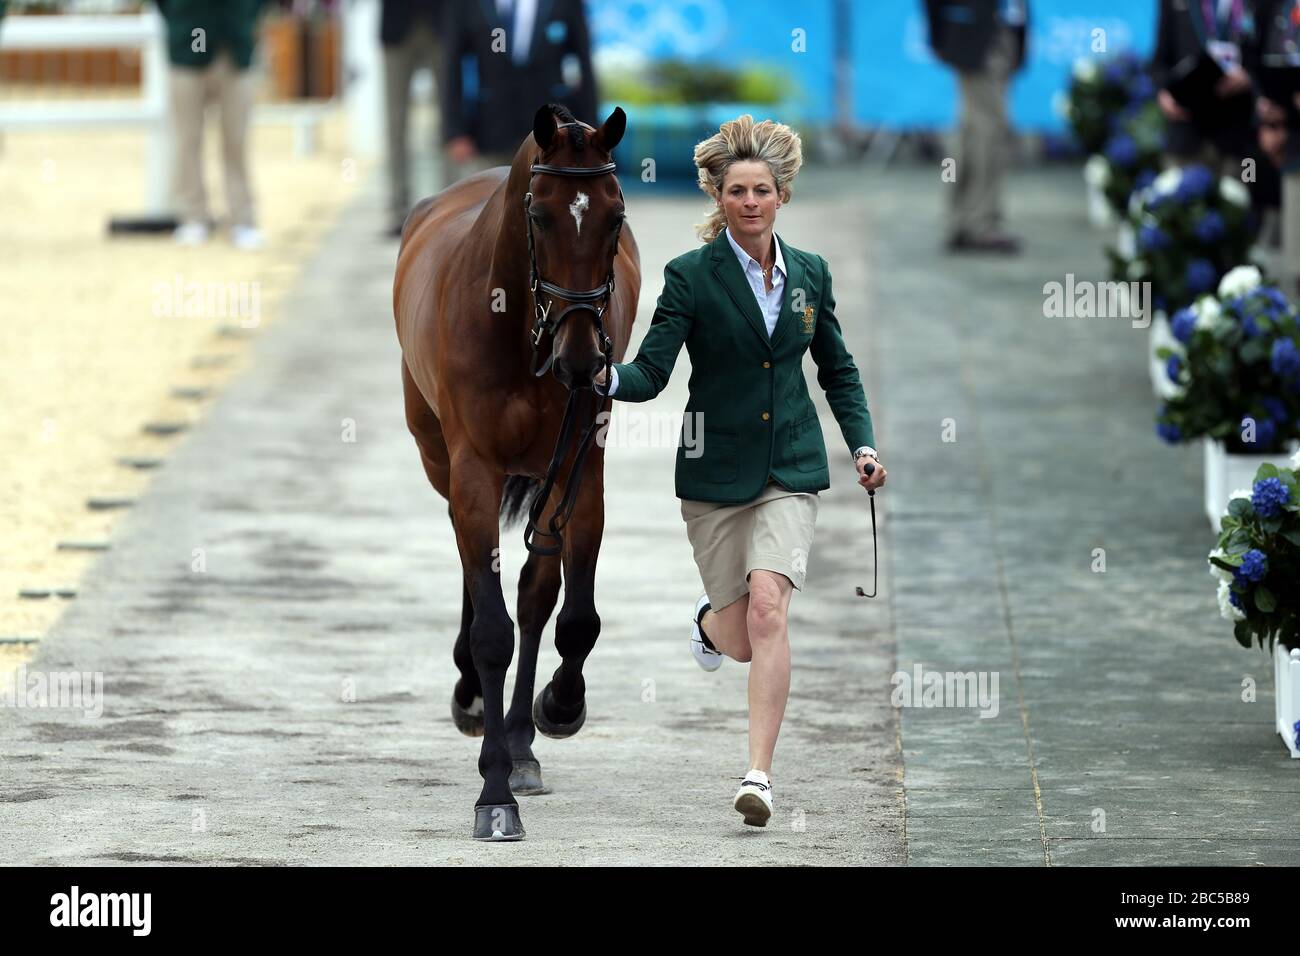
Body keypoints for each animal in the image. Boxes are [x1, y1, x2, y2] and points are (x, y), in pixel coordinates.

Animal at [393, 103, 641, 840]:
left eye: (615, 215)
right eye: (540, 214)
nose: (581, 357)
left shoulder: (582, 465)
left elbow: (568, 614)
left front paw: (557, 707)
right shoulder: (472, 471)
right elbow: (491, 630)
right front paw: (493, 792)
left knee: (536, 593)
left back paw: (525, 740)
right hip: (435, 455)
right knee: (476, 574)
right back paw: (477, 700)